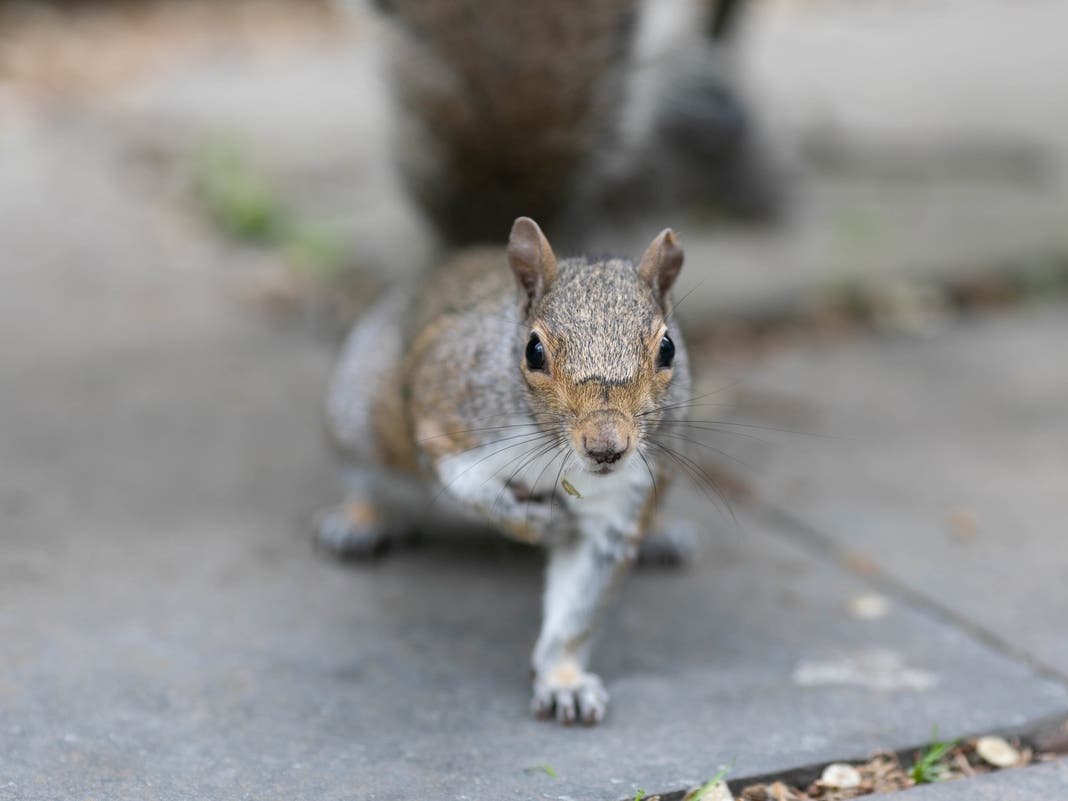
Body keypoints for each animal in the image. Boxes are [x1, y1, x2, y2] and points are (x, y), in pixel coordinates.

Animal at [318, 217, 694, 724]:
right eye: (533, 351)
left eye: (668, 349)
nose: (606, 448)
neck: (554, 450)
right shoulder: (442, 410)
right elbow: (461, 477)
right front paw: (526, 519)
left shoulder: (624, 500)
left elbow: (579, 607)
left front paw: (564, 681)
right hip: (358, 415)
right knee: (369, 479)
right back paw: (360, 521)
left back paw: (661, 535)